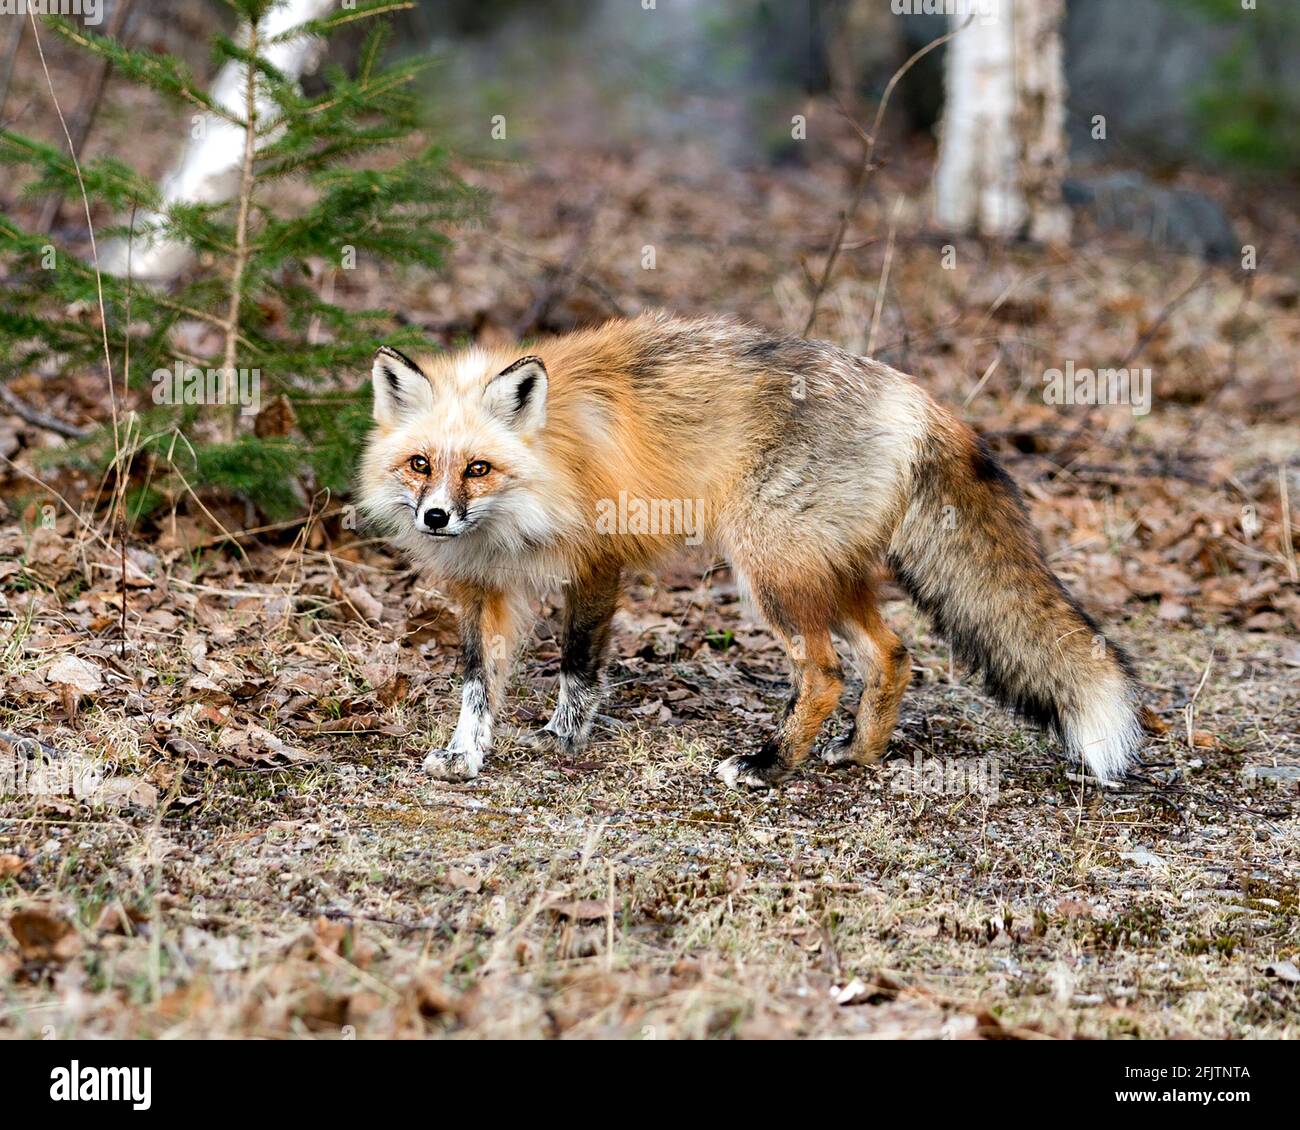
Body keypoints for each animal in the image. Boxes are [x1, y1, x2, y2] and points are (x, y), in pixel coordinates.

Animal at [358, 311, 1144, 790]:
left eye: (478, 468)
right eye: (421, 464)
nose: (435, 518)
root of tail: (914, 395)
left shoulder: (597, 563)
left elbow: (578, 664)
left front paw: (564, 739)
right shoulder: (483, 587)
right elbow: (475, 683)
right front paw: (466, 754)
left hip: (770, 570)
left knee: (825, 674)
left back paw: (770, 765)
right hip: (825, 572)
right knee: (892, 654)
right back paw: (856, 753)